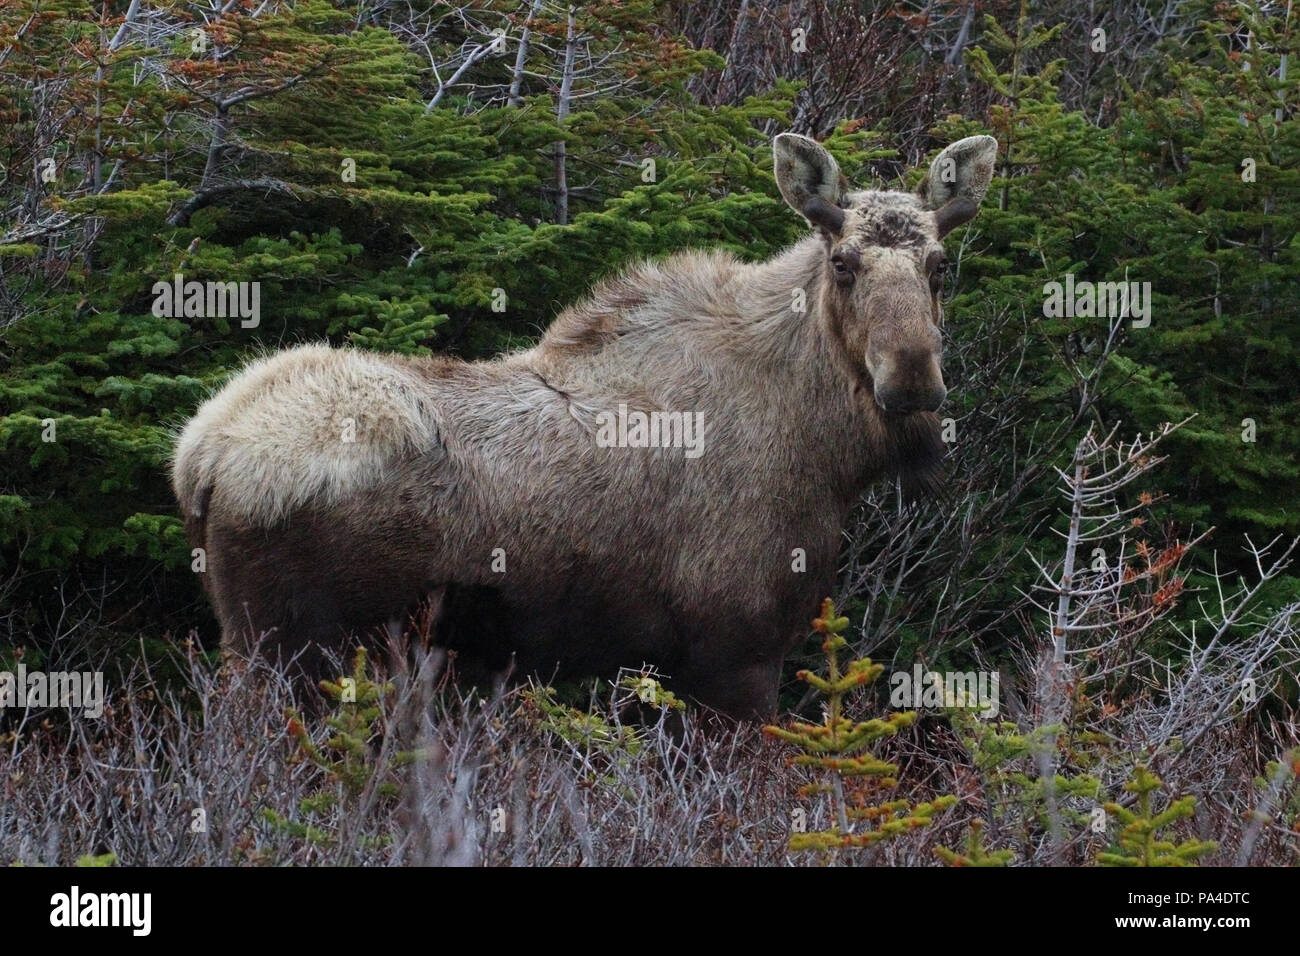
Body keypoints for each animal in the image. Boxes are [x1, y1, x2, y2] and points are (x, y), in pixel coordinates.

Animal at [171, 132, 998, 719]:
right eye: (844, 262)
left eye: (939, 264)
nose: (911, 379)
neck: (828, 457)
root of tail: (198, 459)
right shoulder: (736, 652)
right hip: (287, 645)